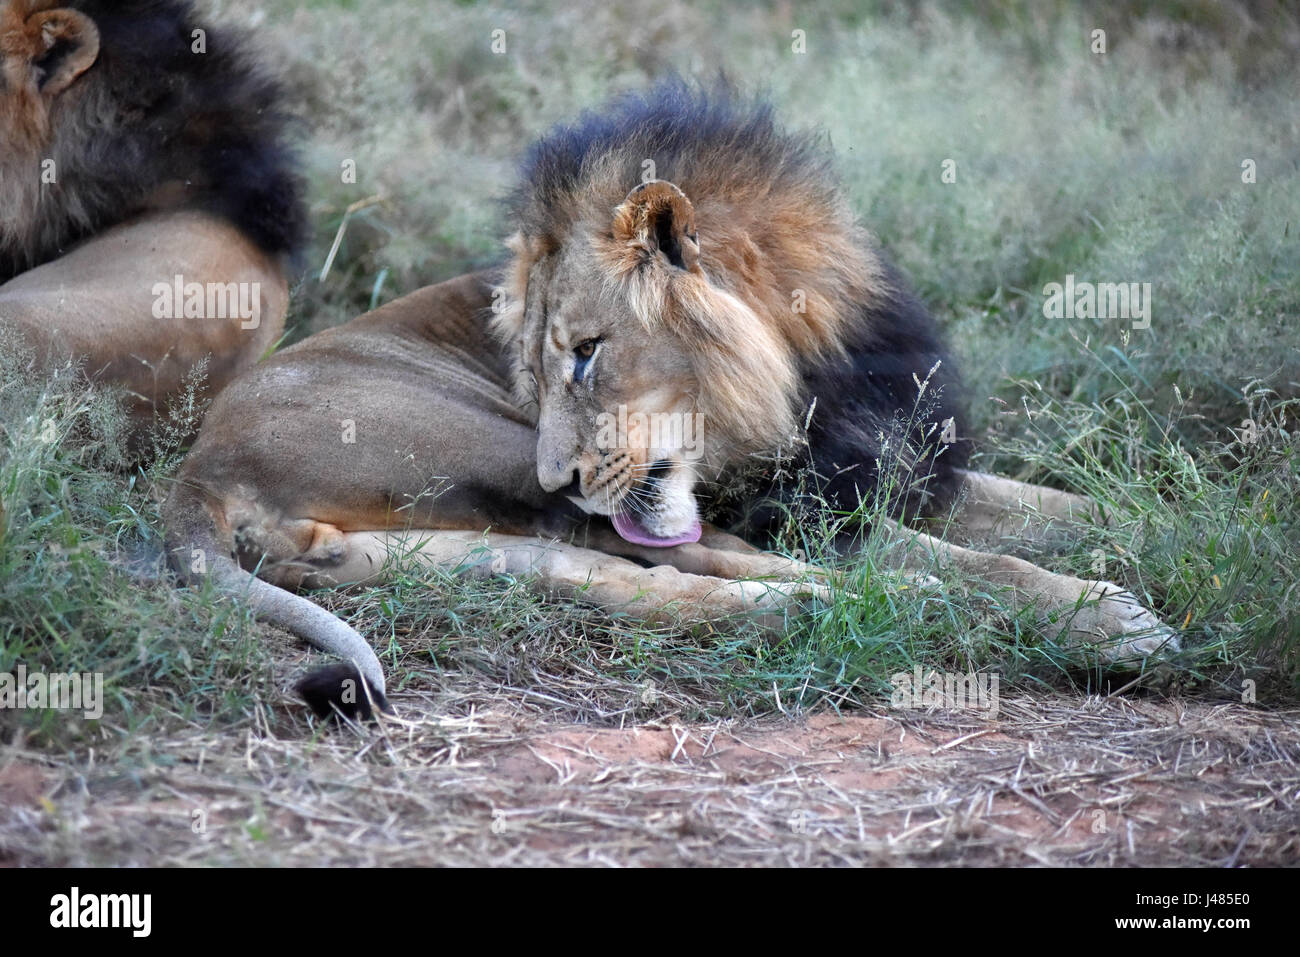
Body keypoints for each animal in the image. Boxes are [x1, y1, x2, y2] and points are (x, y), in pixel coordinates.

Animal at [163, 83, 1179, 719]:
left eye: (586, 356)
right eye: (538, 372)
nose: (561, 477)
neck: (813, 367)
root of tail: (197, 471)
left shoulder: (907, 466)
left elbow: (1071, 510)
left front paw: (1173, 533)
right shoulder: (799, 508)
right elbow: (978, 558)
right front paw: (1106, 618)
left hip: (436, 542)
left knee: (627, 579)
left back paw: (806, 609)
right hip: (471, 441)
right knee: (711, 560)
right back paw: (884, 602)